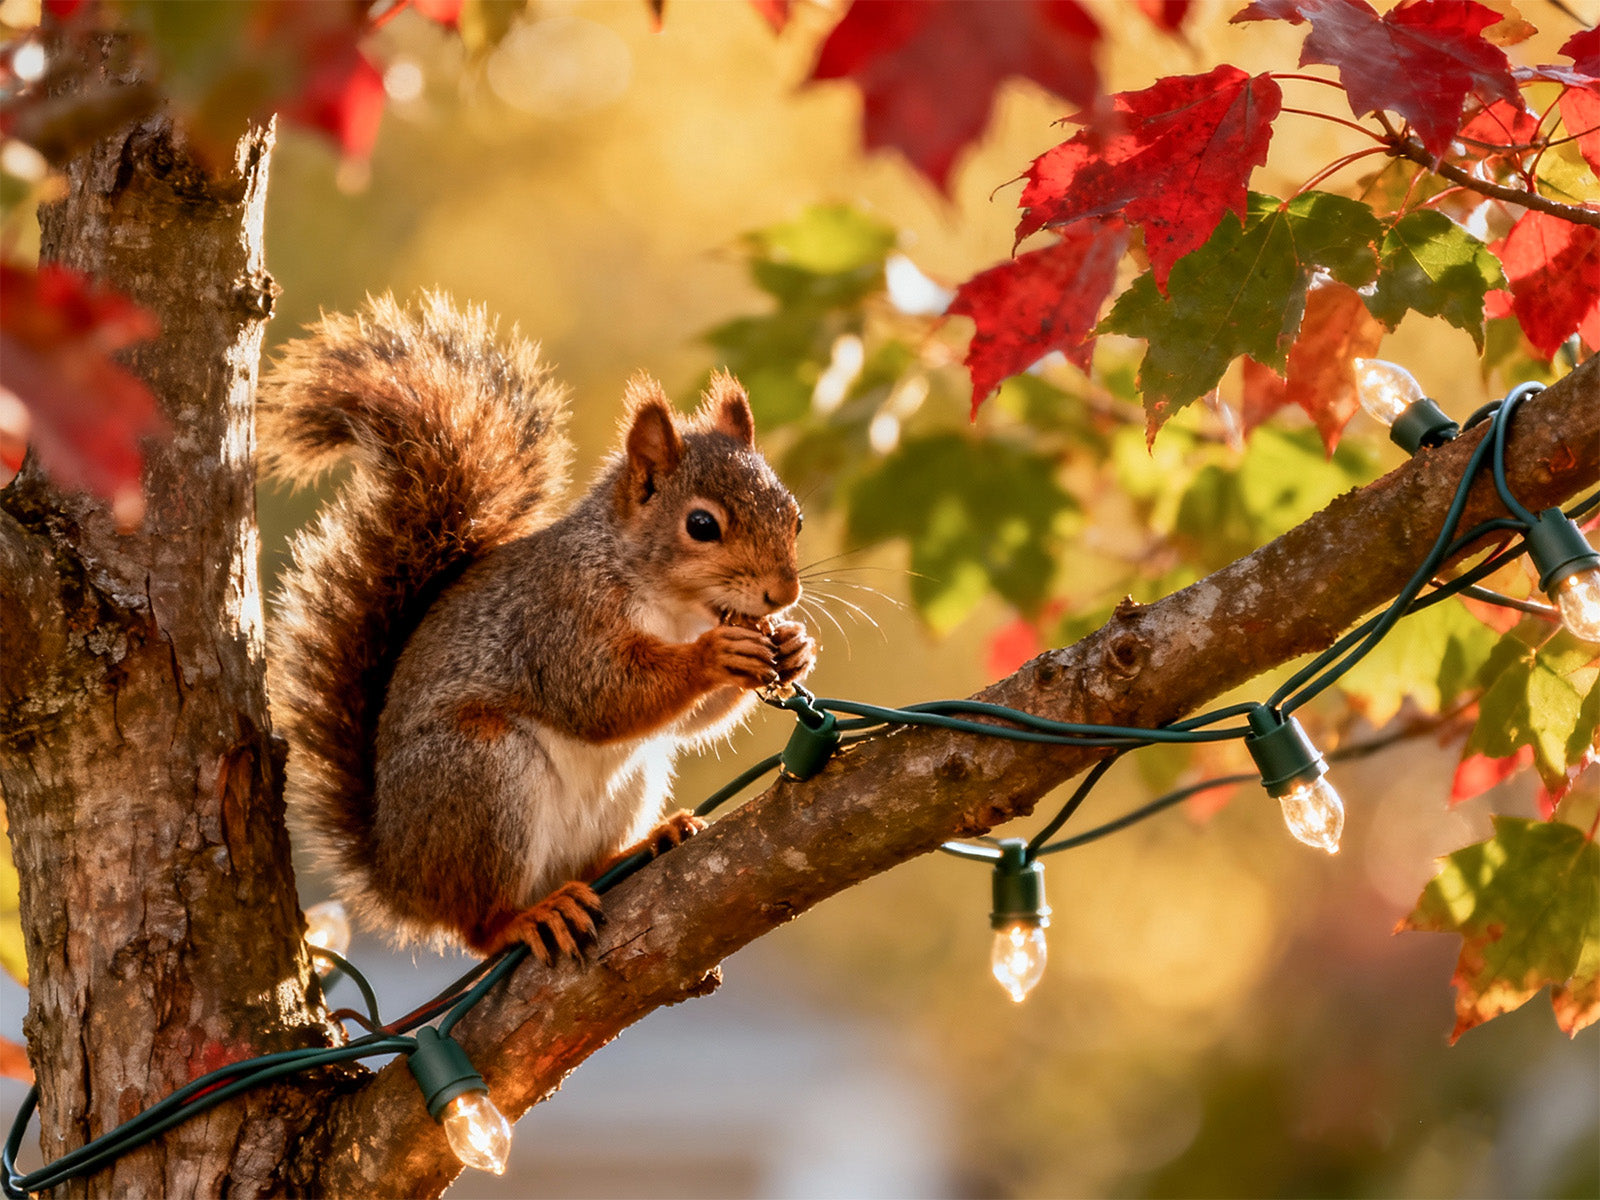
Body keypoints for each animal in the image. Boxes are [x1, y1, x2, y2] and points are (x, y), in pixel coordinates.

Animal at [259, 293, 814, 963]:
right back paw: (527, 917)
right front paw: (715, 656)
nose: (783, 593)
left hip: (630, 779)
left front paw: (793, 644)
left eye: (795, 518)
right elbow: (600, 694)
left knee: (591, 862)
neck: (674, 606)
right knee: (478, 926)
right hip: (480, 774)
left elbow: (690, 721)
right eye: (701, 525)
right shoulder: (557, 619)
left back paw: (649, 841)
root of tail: (402, 880)